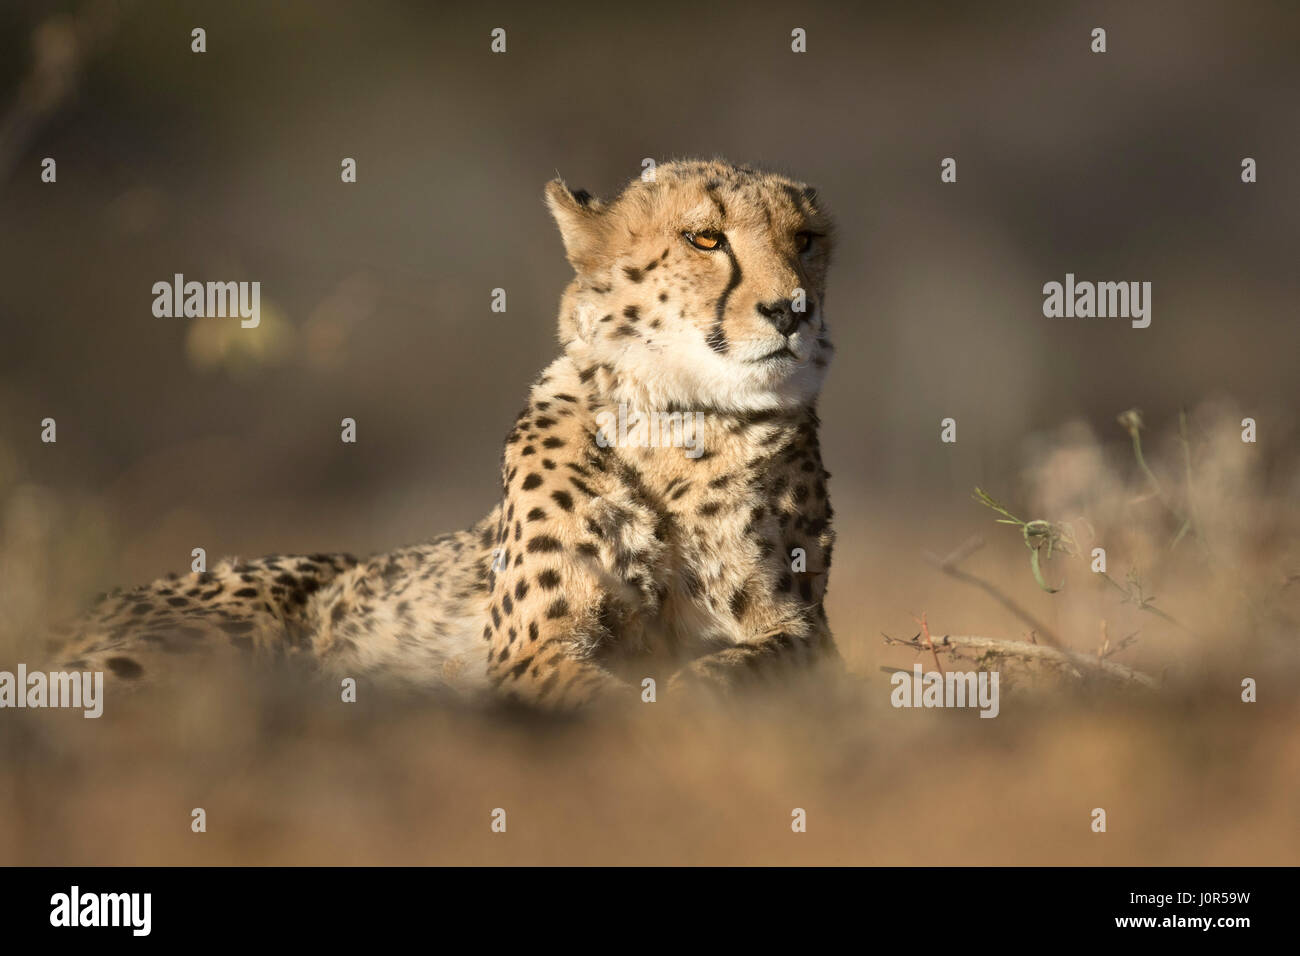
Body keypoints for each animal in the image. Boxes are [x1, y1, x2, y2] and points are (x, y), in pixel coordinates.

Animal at [52, 159, 840, 708]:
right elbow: (608, 698)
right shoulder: (533, 646)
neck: (683, 426)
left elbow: (754, 661)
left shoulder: (805, 630)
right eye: (704, 237)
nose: (791, 310)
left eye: (806, 240)